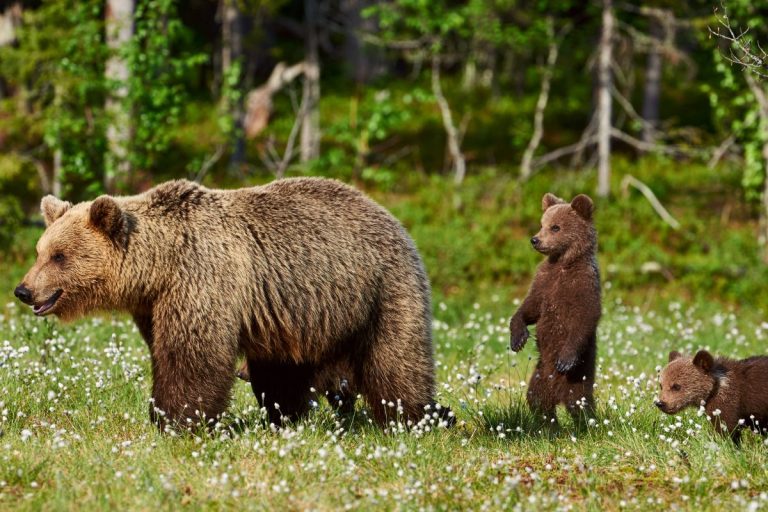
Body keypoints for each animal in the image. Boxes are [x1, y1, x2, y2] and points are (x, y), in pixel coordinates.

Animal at [14, 178, 449, 430]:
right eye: (39, 251)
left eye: (59, 256)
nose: (24, 290)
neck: (159, 266)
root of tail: (389, 215)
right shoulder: (154, 304)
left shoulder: (202, 278)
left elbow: (192, 354)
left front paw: (176, 420)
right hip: (297, 312)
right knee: (282, 372)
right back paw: (285, 417)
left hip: (381, 288)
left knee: (396, 359)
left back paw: (416, 417)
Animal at [509, 193, 601, 425]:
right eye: (542, 224)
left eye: (556, 227)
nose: (535, 239)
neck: (563, 263)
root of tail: (558, 394)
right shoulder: (544, 282)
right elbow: (530, 308)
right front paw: (518, 338)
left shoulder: (583, 285)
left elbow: (585, 317)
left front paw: (565, 360)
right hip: (540, 375)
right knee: (537, 400)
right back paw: (550, 425)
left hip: (579, 377)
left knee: (580, 403)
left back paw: (586, 425)